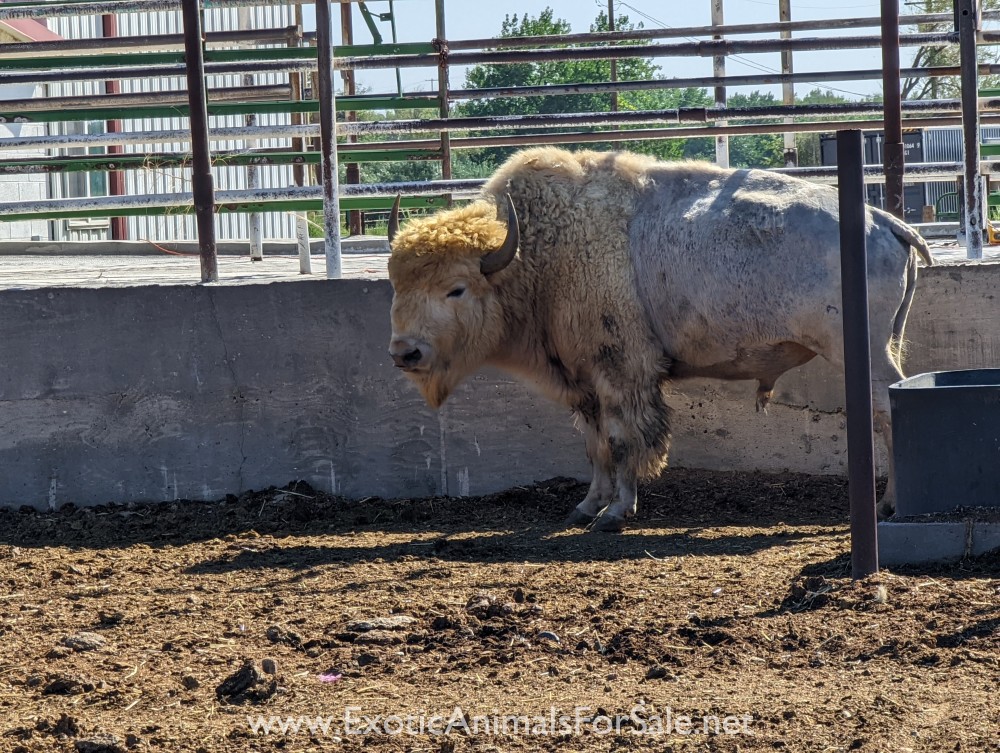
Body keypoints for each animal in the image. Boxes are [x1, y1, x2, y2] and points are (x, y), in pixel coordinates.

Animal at [386, 147, 932, 532]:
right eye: (396, 283)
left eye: (456, 288)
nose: (404, 352)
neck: (535, 251)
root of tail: (886, 221)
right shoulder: (585, 382)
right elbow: (595, 446)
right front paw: (585, 507)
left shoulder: (622, 372)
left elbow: (625, 440)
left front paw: (616, 513)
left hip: (859, 351)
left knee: (886, 410)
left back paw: (888, 505)